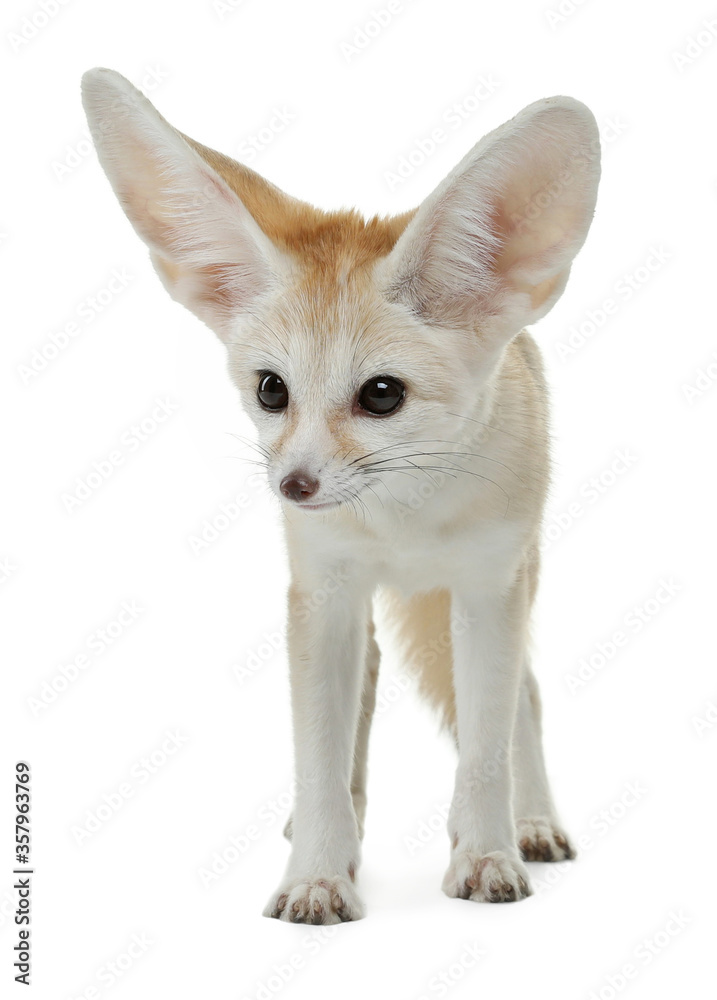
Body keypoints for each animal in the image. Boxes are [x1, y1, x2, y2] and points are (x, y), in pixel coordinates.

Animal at [82, 68, 600, 923]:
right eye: (271, 390)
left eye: (381, 395)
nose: (293, 486)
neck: (405, 525)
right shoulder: (322, 591)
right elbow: (319, 751)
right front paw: (319, 874)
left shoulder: (487, 591)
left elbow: (488, 743)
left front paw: (485, 853)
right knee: (360, 711)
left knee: (520, 701)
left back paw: (528, 822)